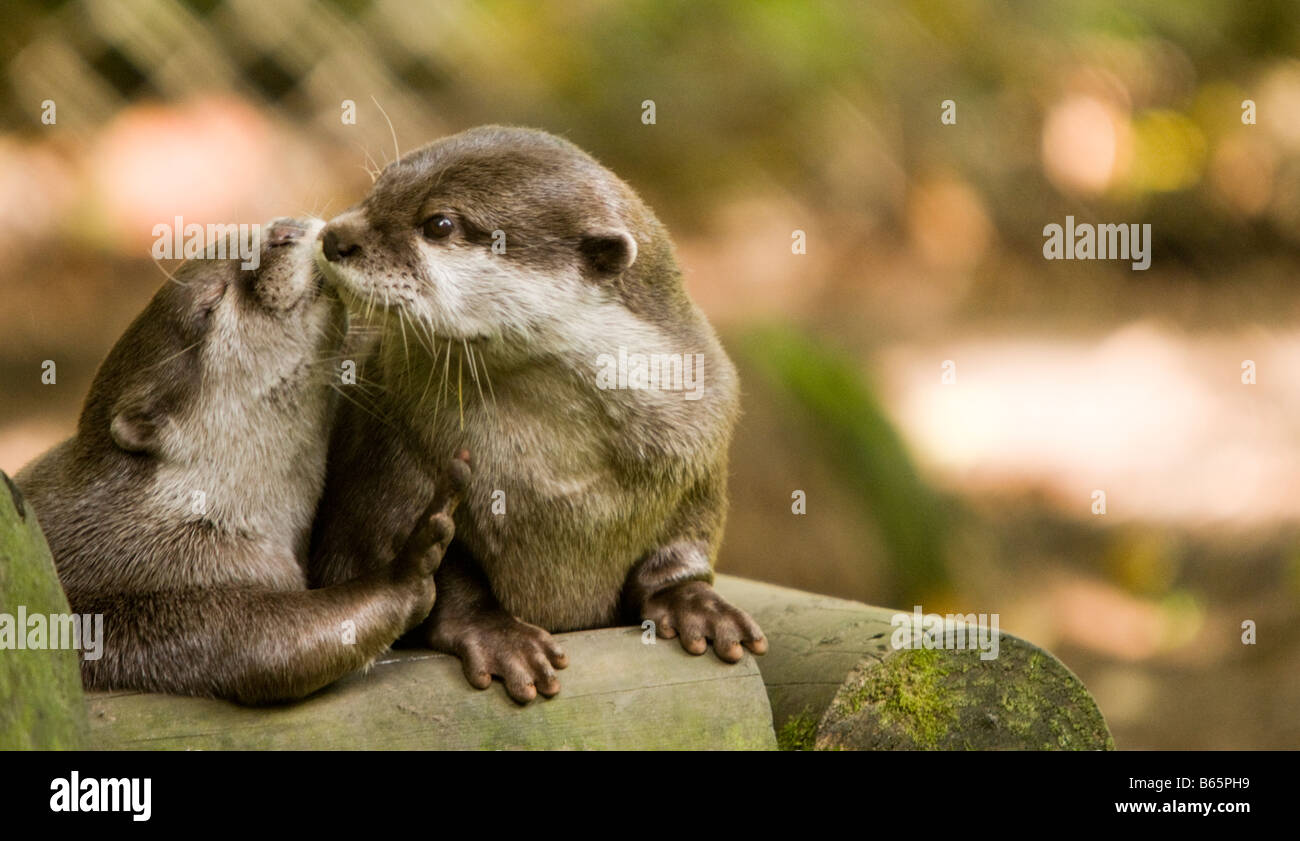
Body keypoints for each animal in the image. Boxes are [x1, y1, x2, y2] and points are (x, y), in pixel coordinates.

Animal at [15, 218, 468, 704]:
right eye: (212, 301)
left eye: (240, 235)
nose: (283, 232)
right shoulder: (165, 598)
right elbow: (277, 647)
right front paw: (407, 567)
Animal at [309, 126, 765, 704]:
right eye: (378, 187)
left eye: (440, 223)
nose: (333, 236)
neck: (562, 485)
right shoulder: (391, 448)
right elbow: (426, 570)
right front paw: (498, 634)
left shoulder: (701, 436)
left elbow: (683, 545)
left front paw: (695, 604)